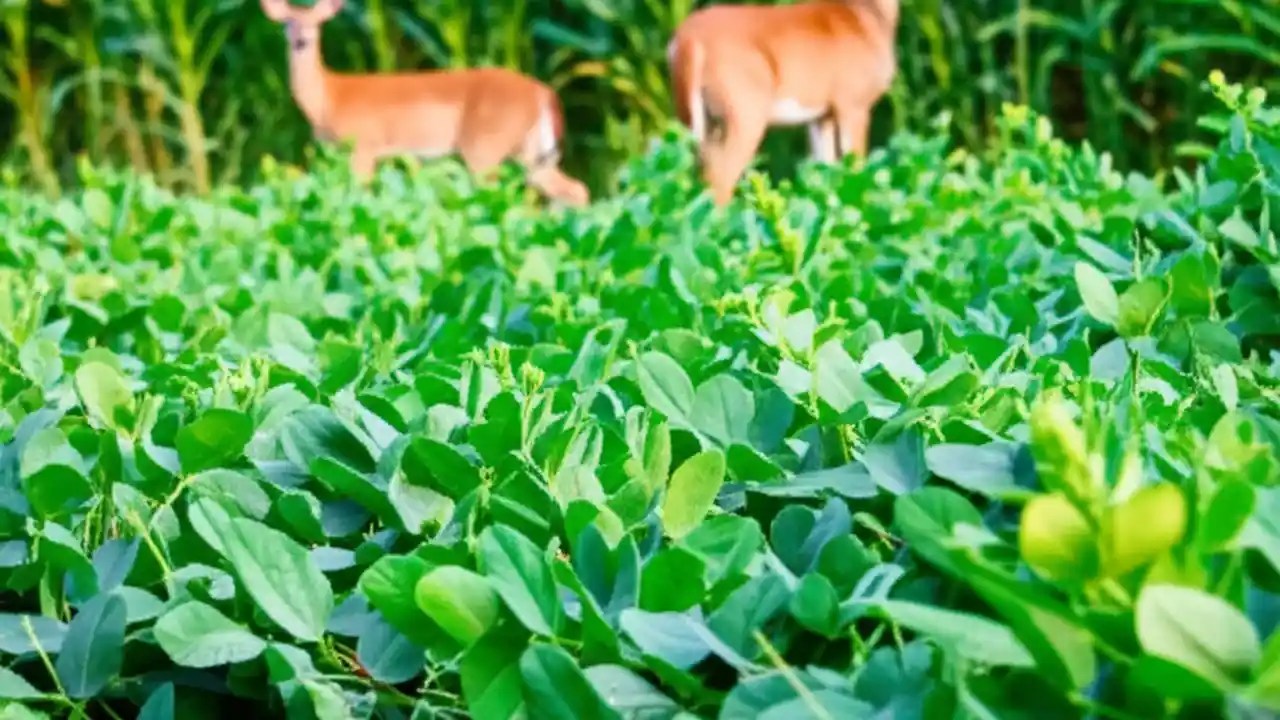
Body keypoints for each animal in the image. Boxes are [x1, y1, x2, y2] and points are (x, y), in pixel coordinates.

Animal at [258, 0, 589, 206]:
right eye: (286, 22)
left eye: (318, 23)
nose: (301, 39)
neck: (329, 98)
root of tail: (543, 92)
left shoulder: (364, 146)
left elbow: (361, 195)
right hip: (533, 152)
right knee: (576, 190)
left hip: (485, 147)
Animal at [667, 0, 900, 206]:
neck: (864, 18)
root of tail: (689, 41)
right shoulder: (853, 103)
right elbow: (856, 168)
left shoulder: (822, 116)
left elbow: (824, 171)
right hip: (744, 113)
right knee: (719, 181)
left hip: (697, 120)